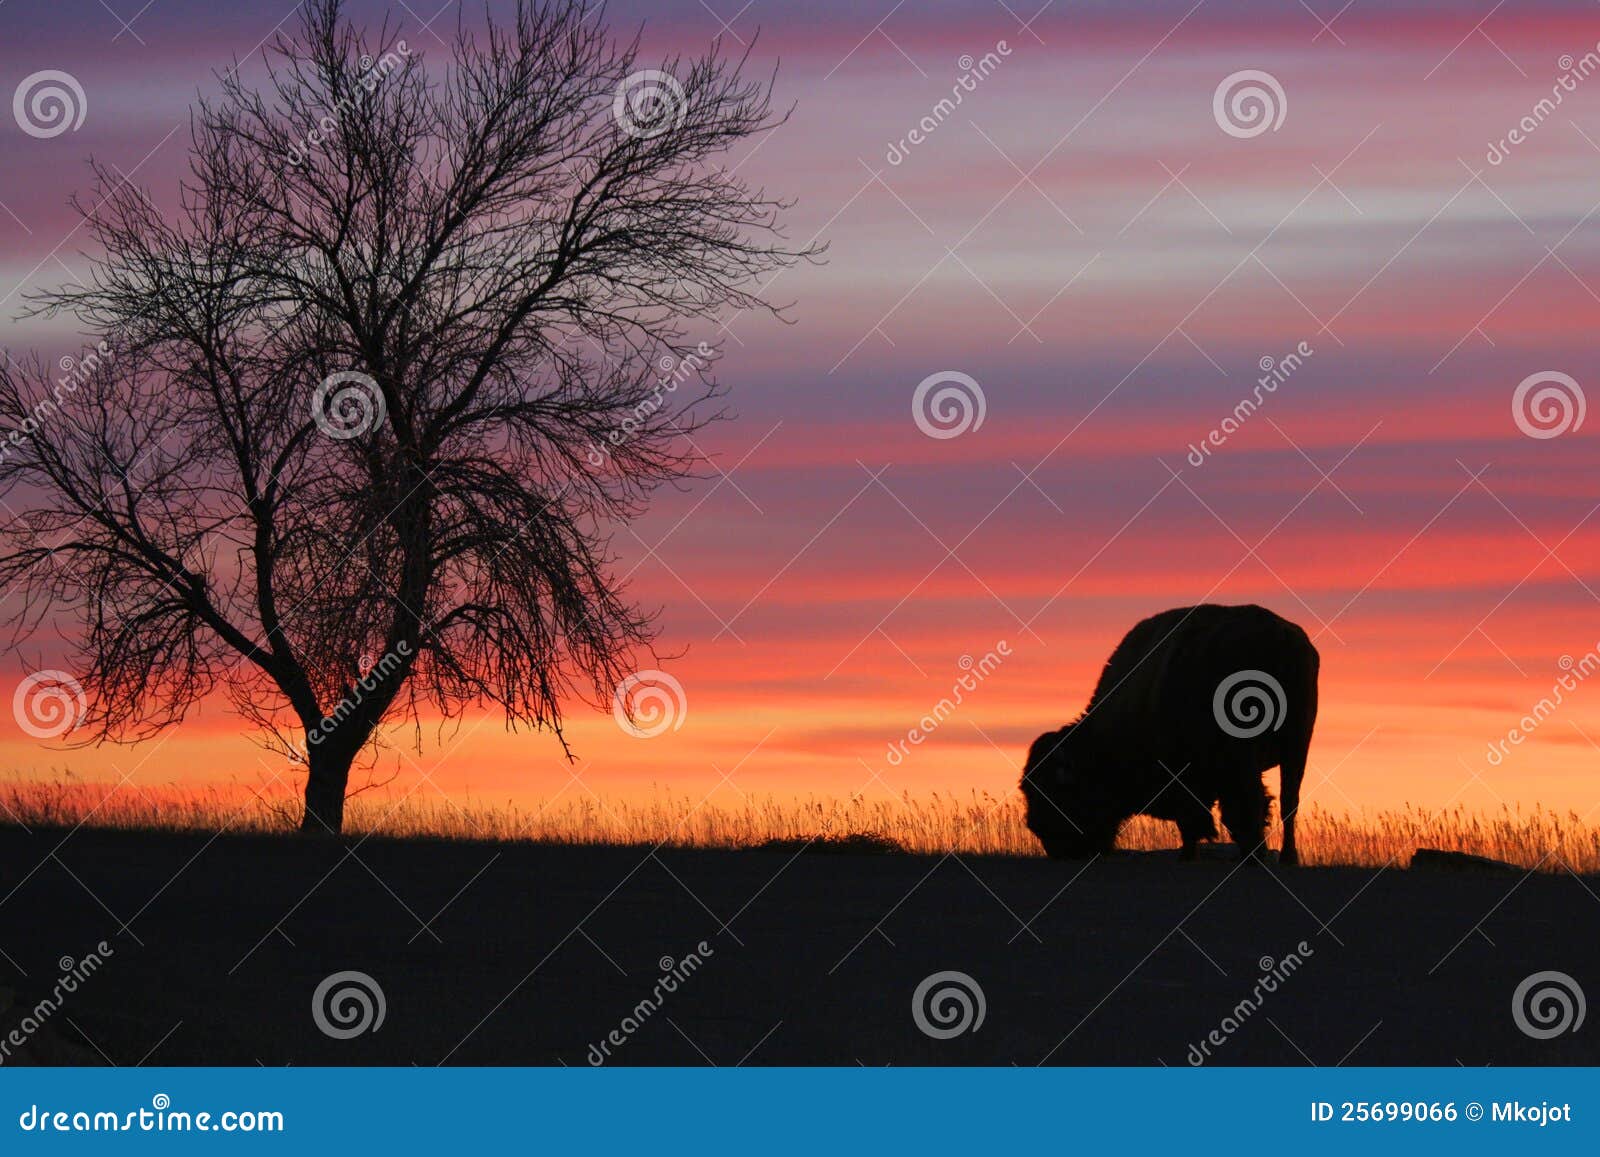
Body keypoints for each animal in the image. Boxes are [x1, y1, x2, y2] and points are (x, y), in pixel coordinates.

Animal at [1021, 604, 1318, 864]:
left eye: (1055, 791)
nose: (1052, 845)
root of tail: (1279, 636)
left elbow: (1194, 817)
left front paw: (1187, 855)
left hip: (1253, 751)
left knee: (1253, 800)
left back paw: (1255, 857)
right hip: (1297, 747)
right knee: (1287, 802)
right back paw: (1285, 858)